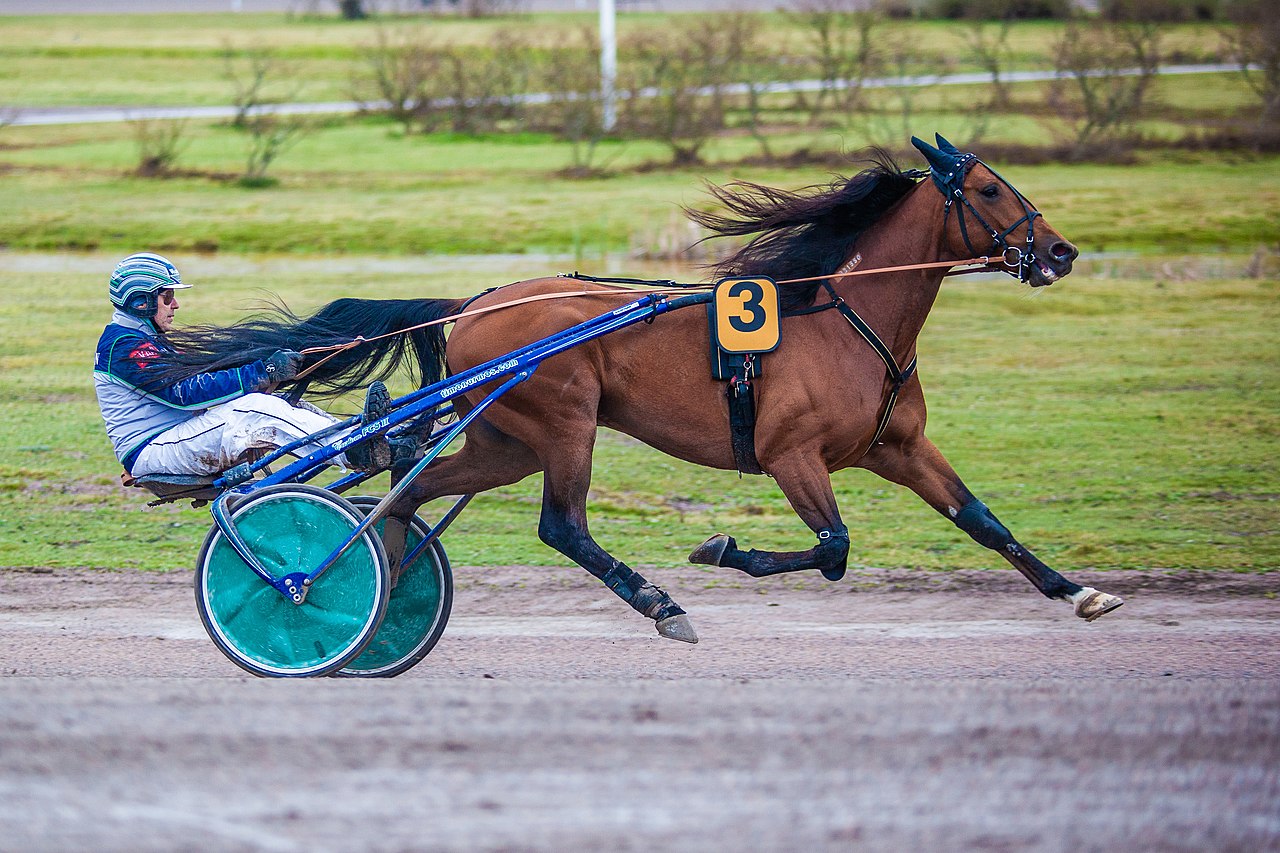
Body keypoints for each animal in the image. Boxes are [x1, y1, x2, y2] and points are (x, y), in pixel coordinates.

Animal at [162, 135, 1123, 643]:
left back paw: (378, 586)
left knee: (407, 489)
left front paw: (1080, 591)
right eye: (992, 188)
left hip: (507, 441)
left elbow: (984, 522)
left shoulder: (900, 446)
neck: (849, 320)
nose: (1061, 250)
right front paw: (722, 550)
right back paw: (661, 604)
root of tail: (475, 301)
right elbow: (834, 546)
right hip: (565, 421)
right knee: (561, 525)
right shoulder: (790, 453)